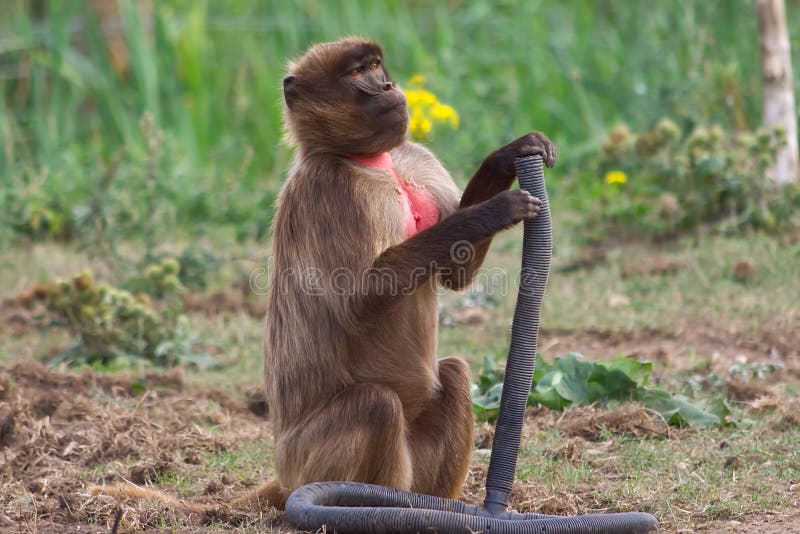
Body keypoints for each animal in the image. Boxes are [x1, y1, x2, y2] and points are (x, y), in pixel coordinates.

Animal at [90, 37, 555, 516]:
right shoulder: (332, 193)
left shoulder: (416, 159)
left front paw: (507, 159)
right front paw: (494, 209)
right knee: (376, 404)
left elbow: (455, 275)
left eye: (375, 65)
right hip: (312, 460)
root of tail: (284, 476)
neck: (368, 160)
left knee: (456, 375)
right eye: (356, 74)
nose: (387, 86)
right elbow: (360, 298)